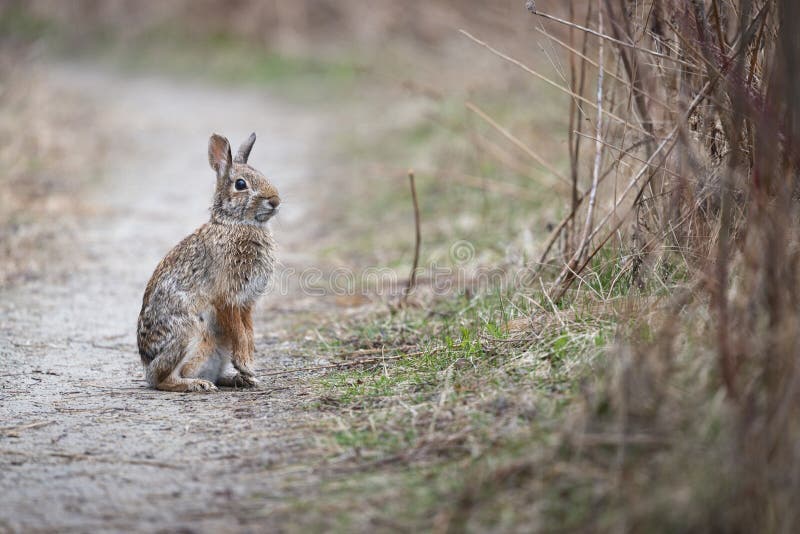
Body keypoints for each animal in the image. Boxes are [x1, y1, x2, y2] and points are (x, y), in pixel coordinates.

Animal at [136, 132, 280, 392]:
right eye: (241, 184)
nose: (275, 200)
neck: (235, 223)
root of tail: (146, 366)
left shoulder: (246, 302)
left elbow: (249, 332)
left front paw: (249, 368)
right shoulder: (227, 297)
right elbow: (240, 332)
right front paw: (245, 364)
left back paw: (238, 380)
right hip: (186, 333)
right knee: (162, 379)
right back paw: (197, 384)